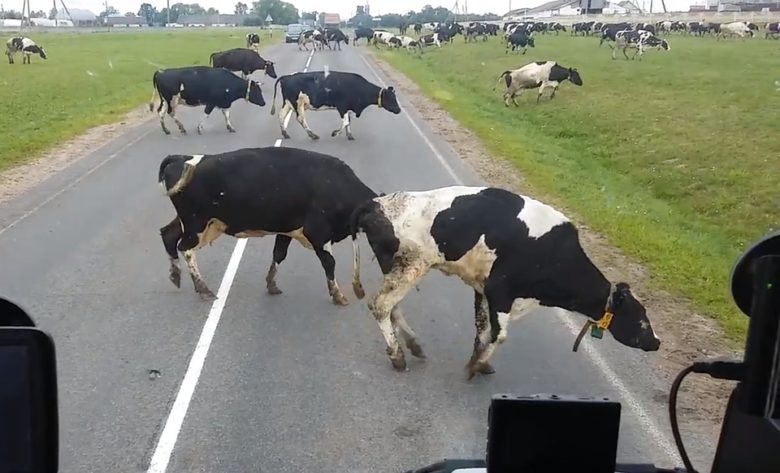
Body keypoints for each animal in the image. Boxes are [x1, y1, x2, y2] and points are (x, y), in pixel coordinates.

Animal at [158, 147, 378, 306]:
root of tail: (183, 157)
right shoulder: (317, 232)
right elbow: (329, 263)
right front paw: (338, 295)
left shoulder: (287, 229)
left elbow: (279, 254)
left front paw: (271, 284)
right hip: (196, 224)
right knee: (185, 249)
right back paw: (203, 289)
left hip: (189, 222)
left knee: (168, 234)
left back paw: (175, 275)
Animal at [269, 70, 401, 141]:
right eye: (391, 98)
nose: (399, 110)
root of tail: (287, 77)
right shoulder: (342, 107)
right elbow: (346, 122)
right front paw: (335, 133)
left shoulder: (348, 108)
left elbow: (348, 122)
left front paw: (350, 135)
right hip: (297, 103)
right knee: (300, 118)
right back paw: (313, 135)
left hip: (288, 102)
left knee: (281, 115)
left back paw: (285, 134)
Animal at [349, 186, 661, 376]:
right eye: (640, 317)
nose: (656, 342)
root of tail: (376, 202)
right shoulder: (501, 290)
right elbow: (499, 334)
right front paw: (477, 366)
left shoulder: (486, 289)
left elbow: (483, 329)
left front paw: (478, 361)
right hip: (413, 265)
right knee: (381, 305)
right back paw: (397, 355)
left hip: (396, 268)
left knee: (392, 306)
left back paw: (413, 345)